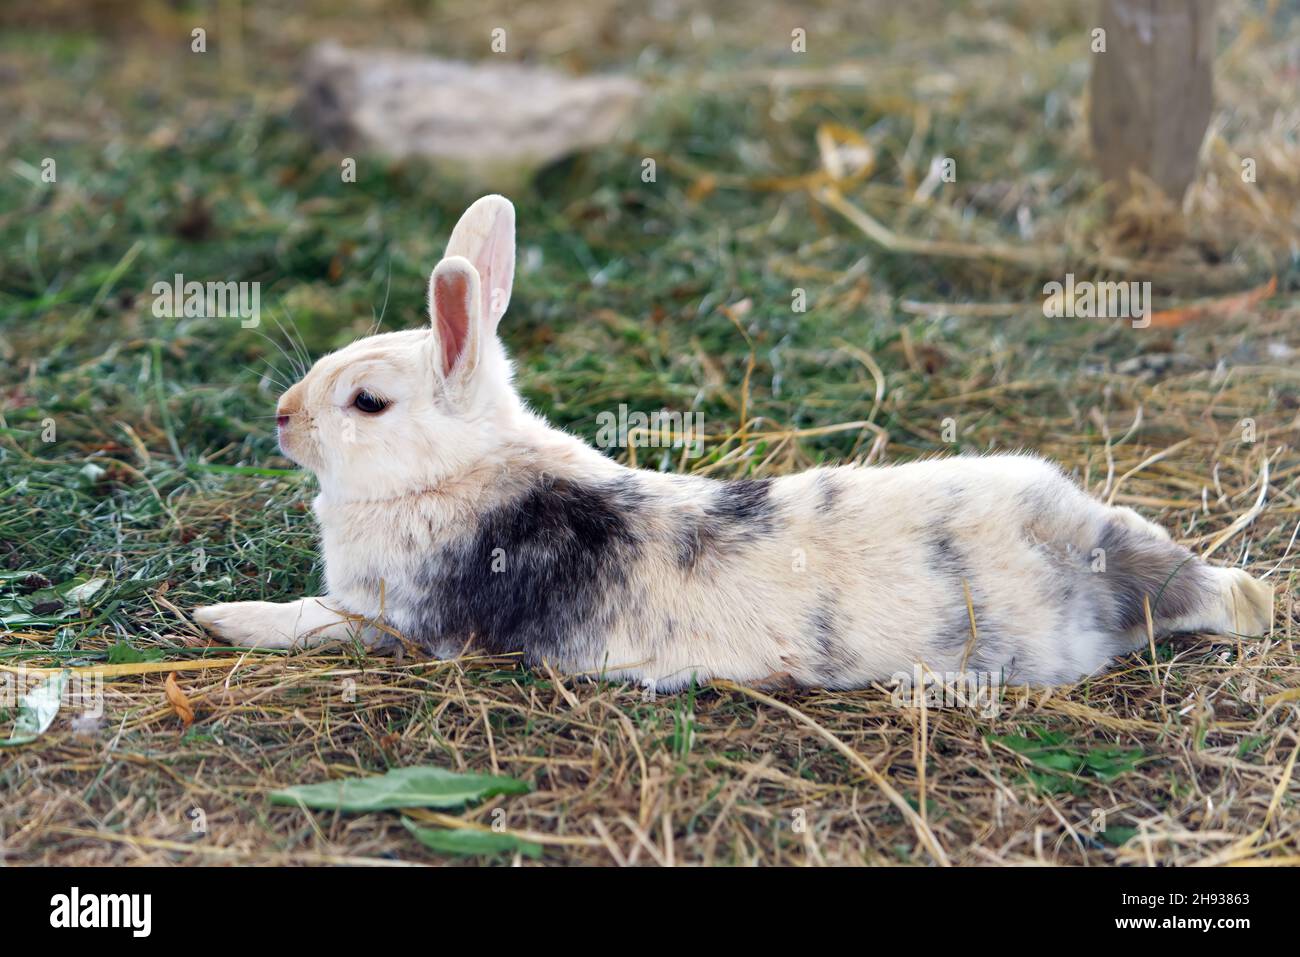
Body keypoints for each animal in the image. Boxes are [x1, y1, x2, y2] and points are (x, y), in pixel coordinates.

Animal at [193, 195, 1275, 692]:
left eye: (368, 401)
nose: (283, 416)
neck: (460, 473)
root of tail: (1103, 557)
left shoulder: (395, 619)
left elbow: (306, 621)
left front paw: (219, 618)